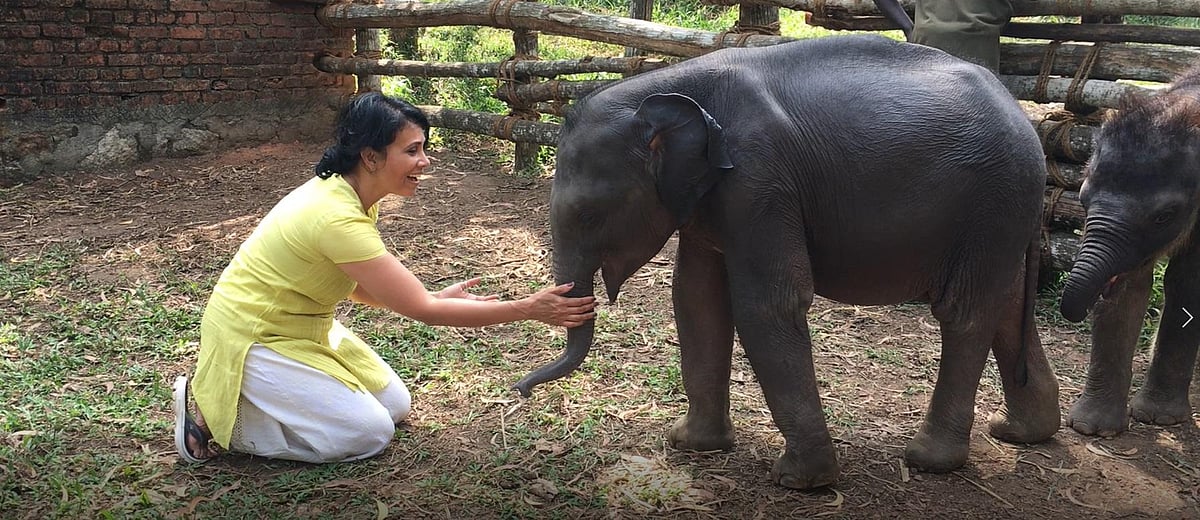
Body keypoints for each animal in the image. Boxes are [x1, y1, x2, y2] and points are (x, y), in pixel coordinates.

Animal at [513, 34, 1060, 489]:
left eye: (588, 215)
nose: (520, 392)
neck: (667, 87)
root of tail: (1026, 120)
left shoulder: (759, 180)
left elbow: (767, 304)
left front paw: (800, 481)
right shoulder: (711, 199)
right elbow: (695, 297)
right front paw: (690, 443)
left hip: (992, 201)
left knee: (964, 313)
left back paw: (928, 460)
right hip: (1001, 215)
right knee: (1008, 307)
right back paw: (1020, 432)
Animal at [1059, 64, 1200, 436]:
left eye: (1164, 216)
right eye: (1082, 198)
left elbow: (1187, 282)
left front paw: (1160, 418)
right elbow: (1131, 287)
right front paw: (1092, 429)